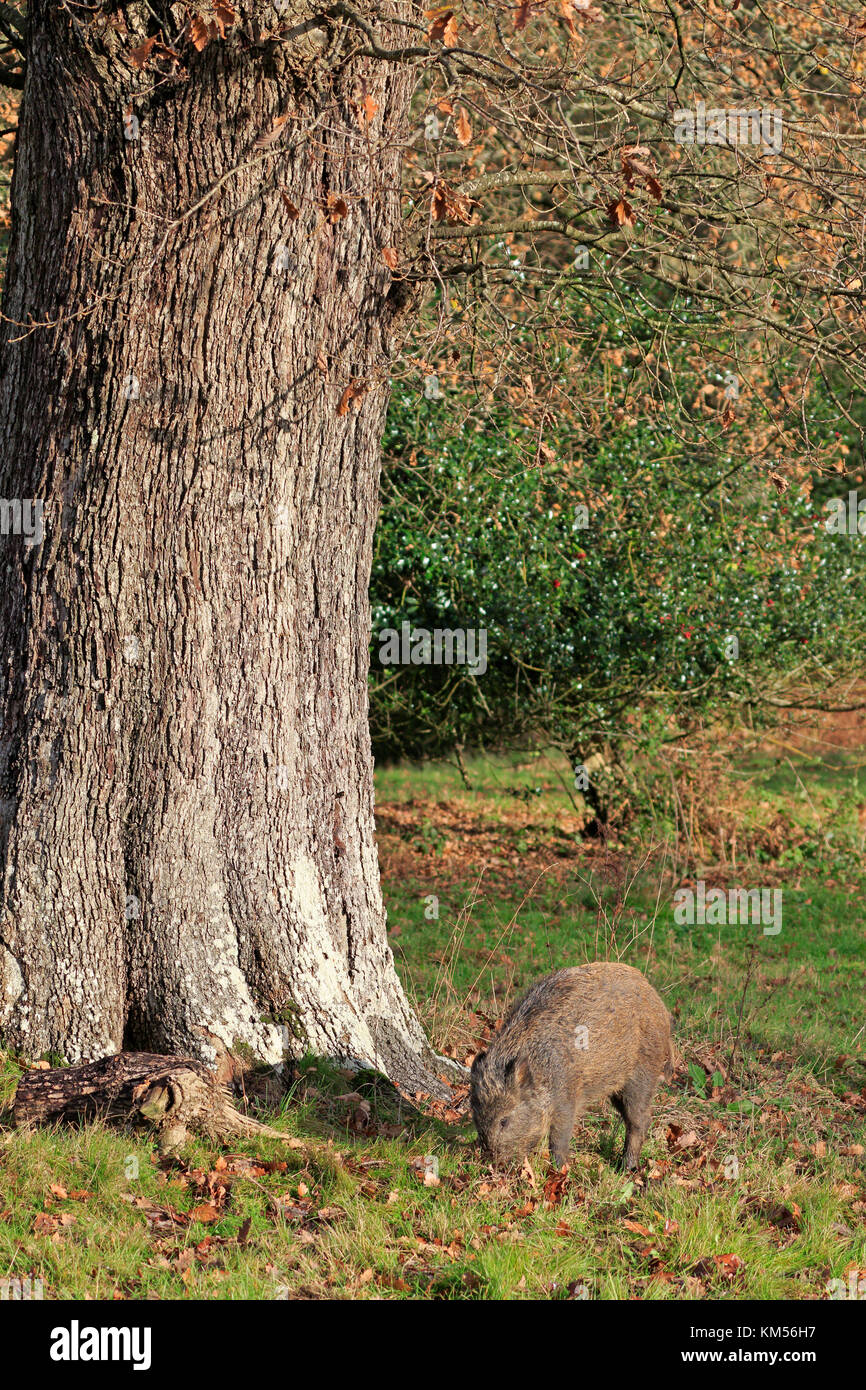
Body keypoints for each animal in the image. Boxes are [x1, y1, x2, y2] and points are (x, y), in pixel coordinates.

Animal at [470, 963, 675, 1170]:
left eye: (504, 1121)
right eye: (476, 1117)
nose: (493, 1164)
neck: (541, 1068)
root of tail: (660, 1006)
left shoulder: (567, 1096)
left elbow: (559, 1138)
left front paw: (560, 1169)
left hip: (643, 1072)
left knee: (639, 1120)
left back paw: (626, 1168)